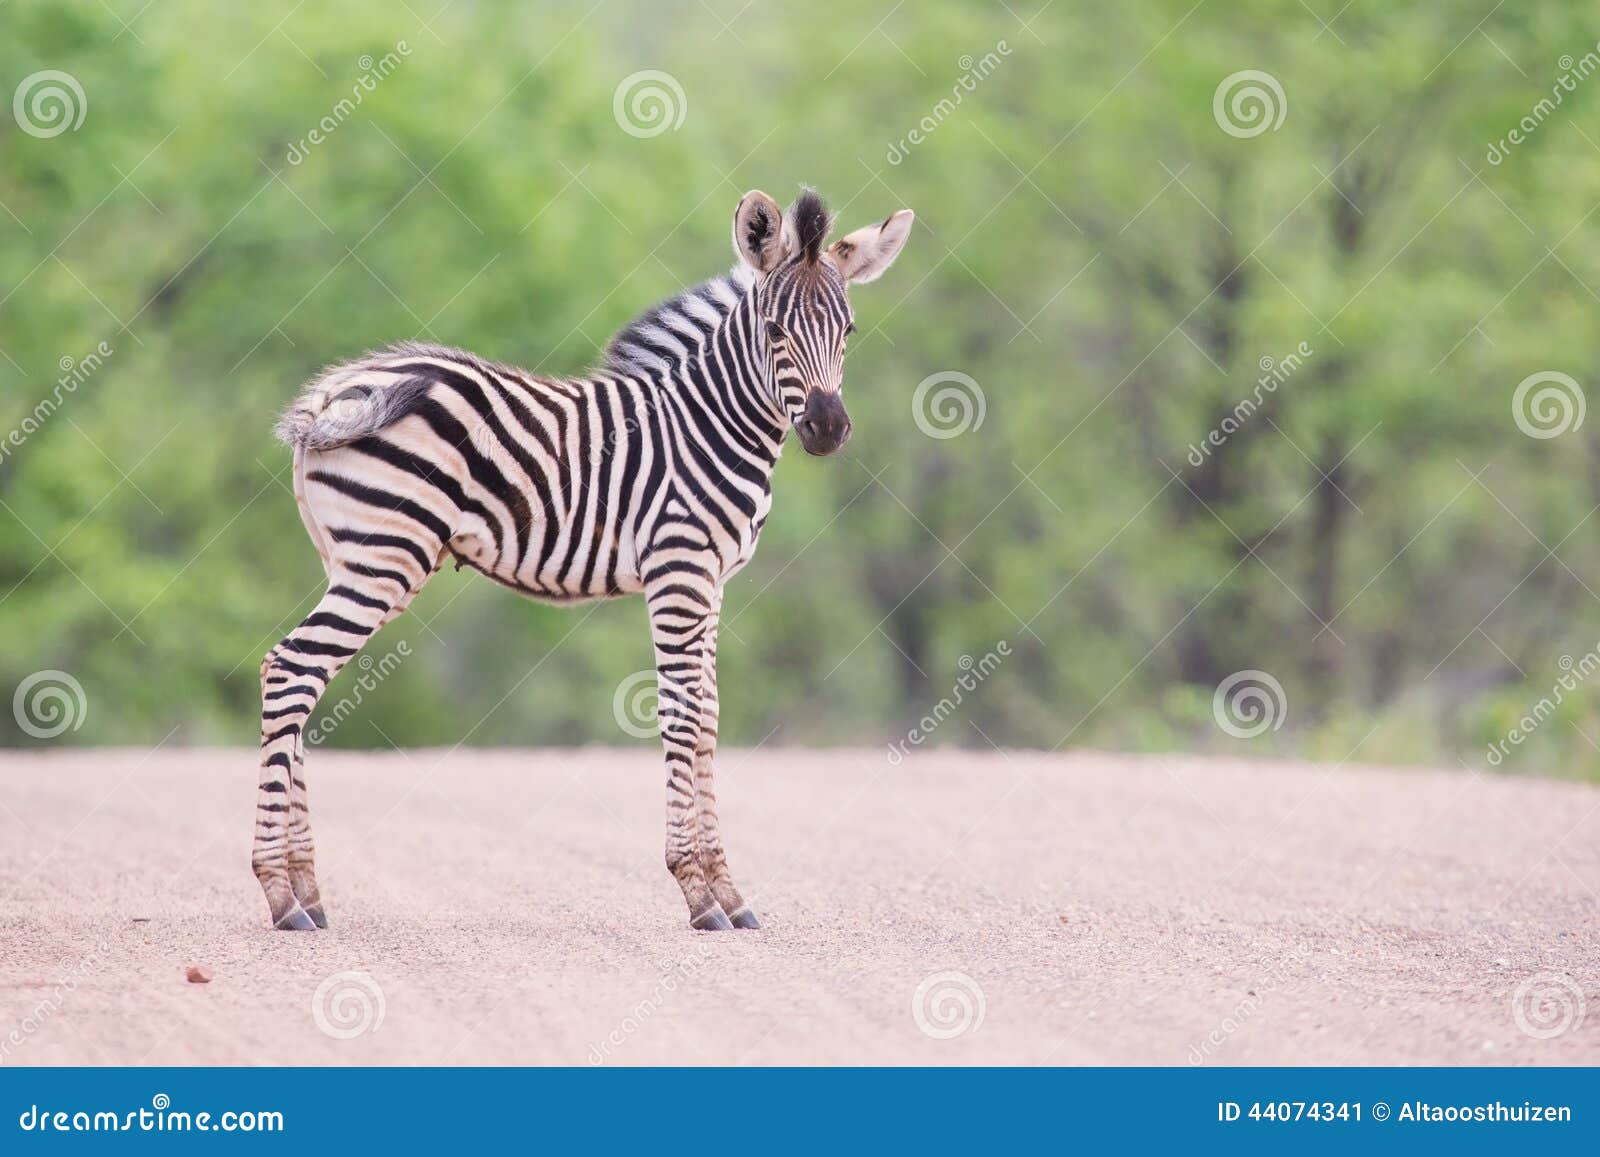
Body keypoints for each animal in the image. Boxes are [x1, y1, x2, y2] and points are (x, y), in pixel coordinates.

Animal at [257, 189, 913, 931]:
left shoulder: (713, 582)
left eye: (849, 330)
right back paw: (281, 897)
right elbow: (683, 713)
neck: (710, 423)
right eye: (774, 330)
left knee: (302, 681)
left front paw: (729, 894)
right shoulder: (679, 571)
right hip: (383, 557)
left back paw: (307, 892)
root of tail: (336, 389)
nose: (828, 430)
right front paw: (700, 893)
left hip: (355, 560)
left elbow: (709, 717)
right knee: (291, 670)